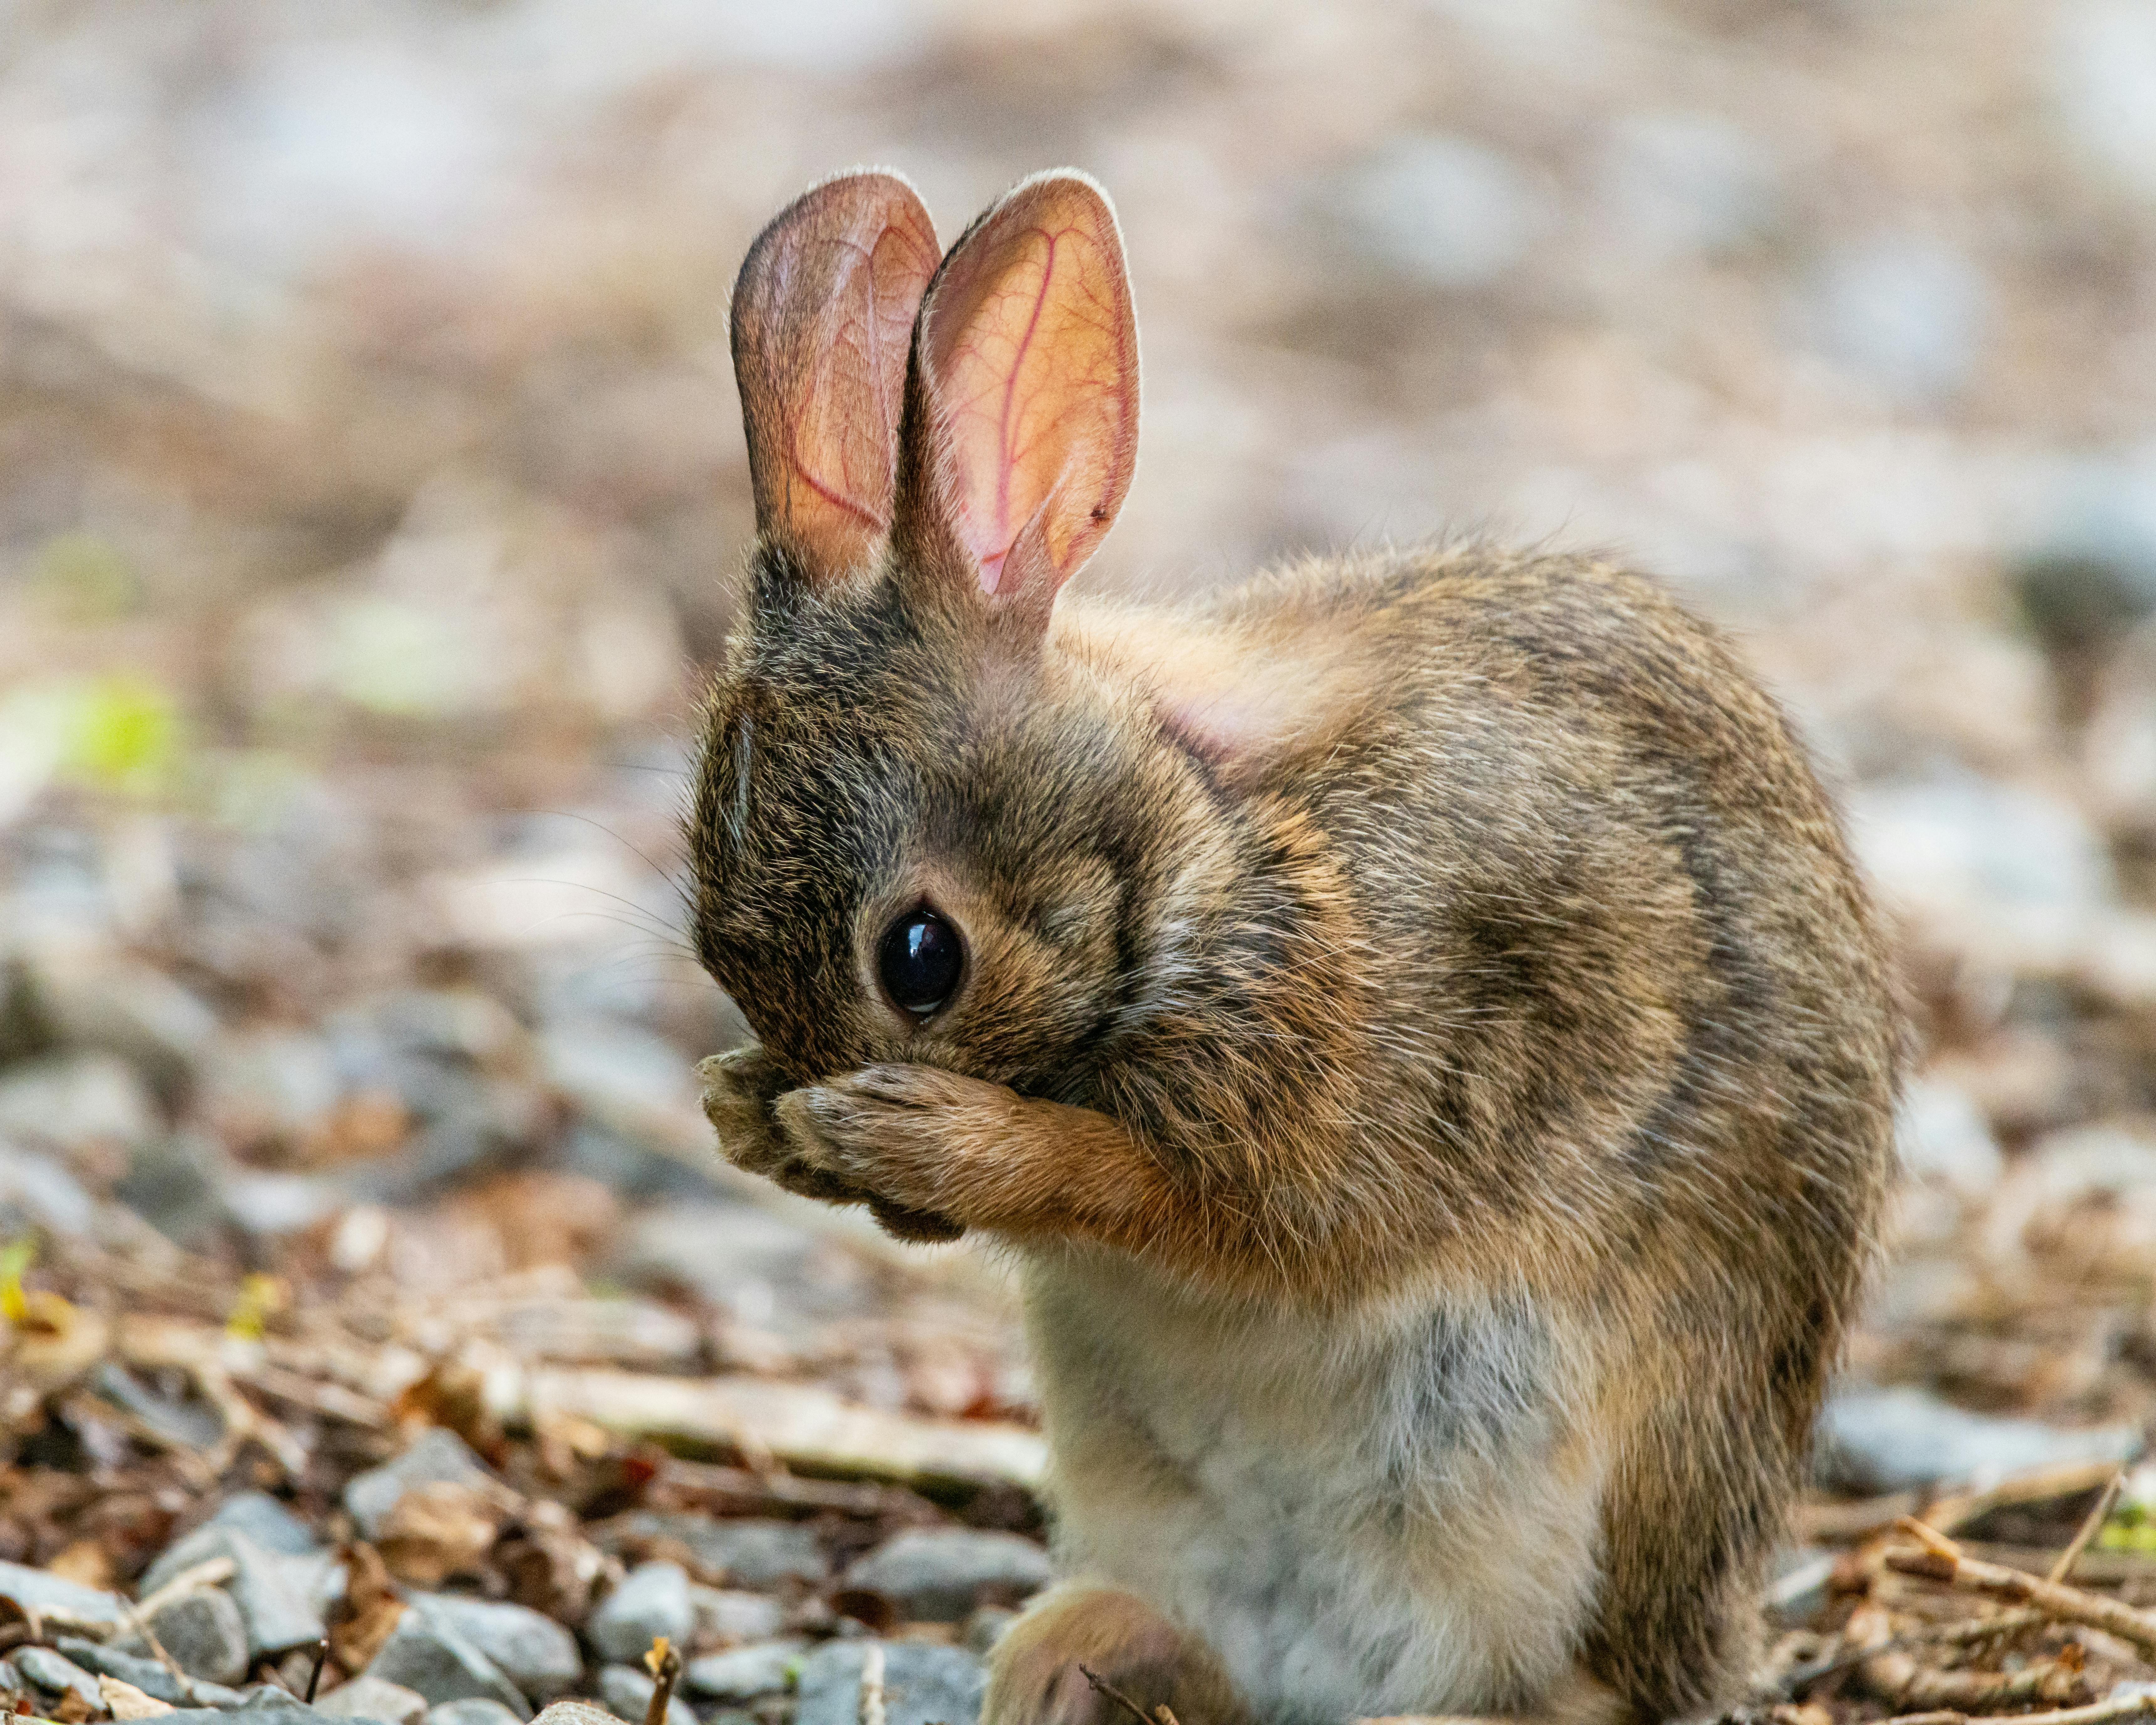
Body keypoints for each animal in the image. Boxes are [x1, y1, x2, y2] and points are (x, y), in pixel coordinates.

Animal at [690, 165, 1900, 1725]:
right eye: (712, 942)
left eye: (920, 957)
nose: (894, 1216)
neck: (1188, 834)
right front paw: (745, 1109)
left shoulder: (1365, 1080)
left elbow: (1164, 1194)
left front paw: (919, 1134)